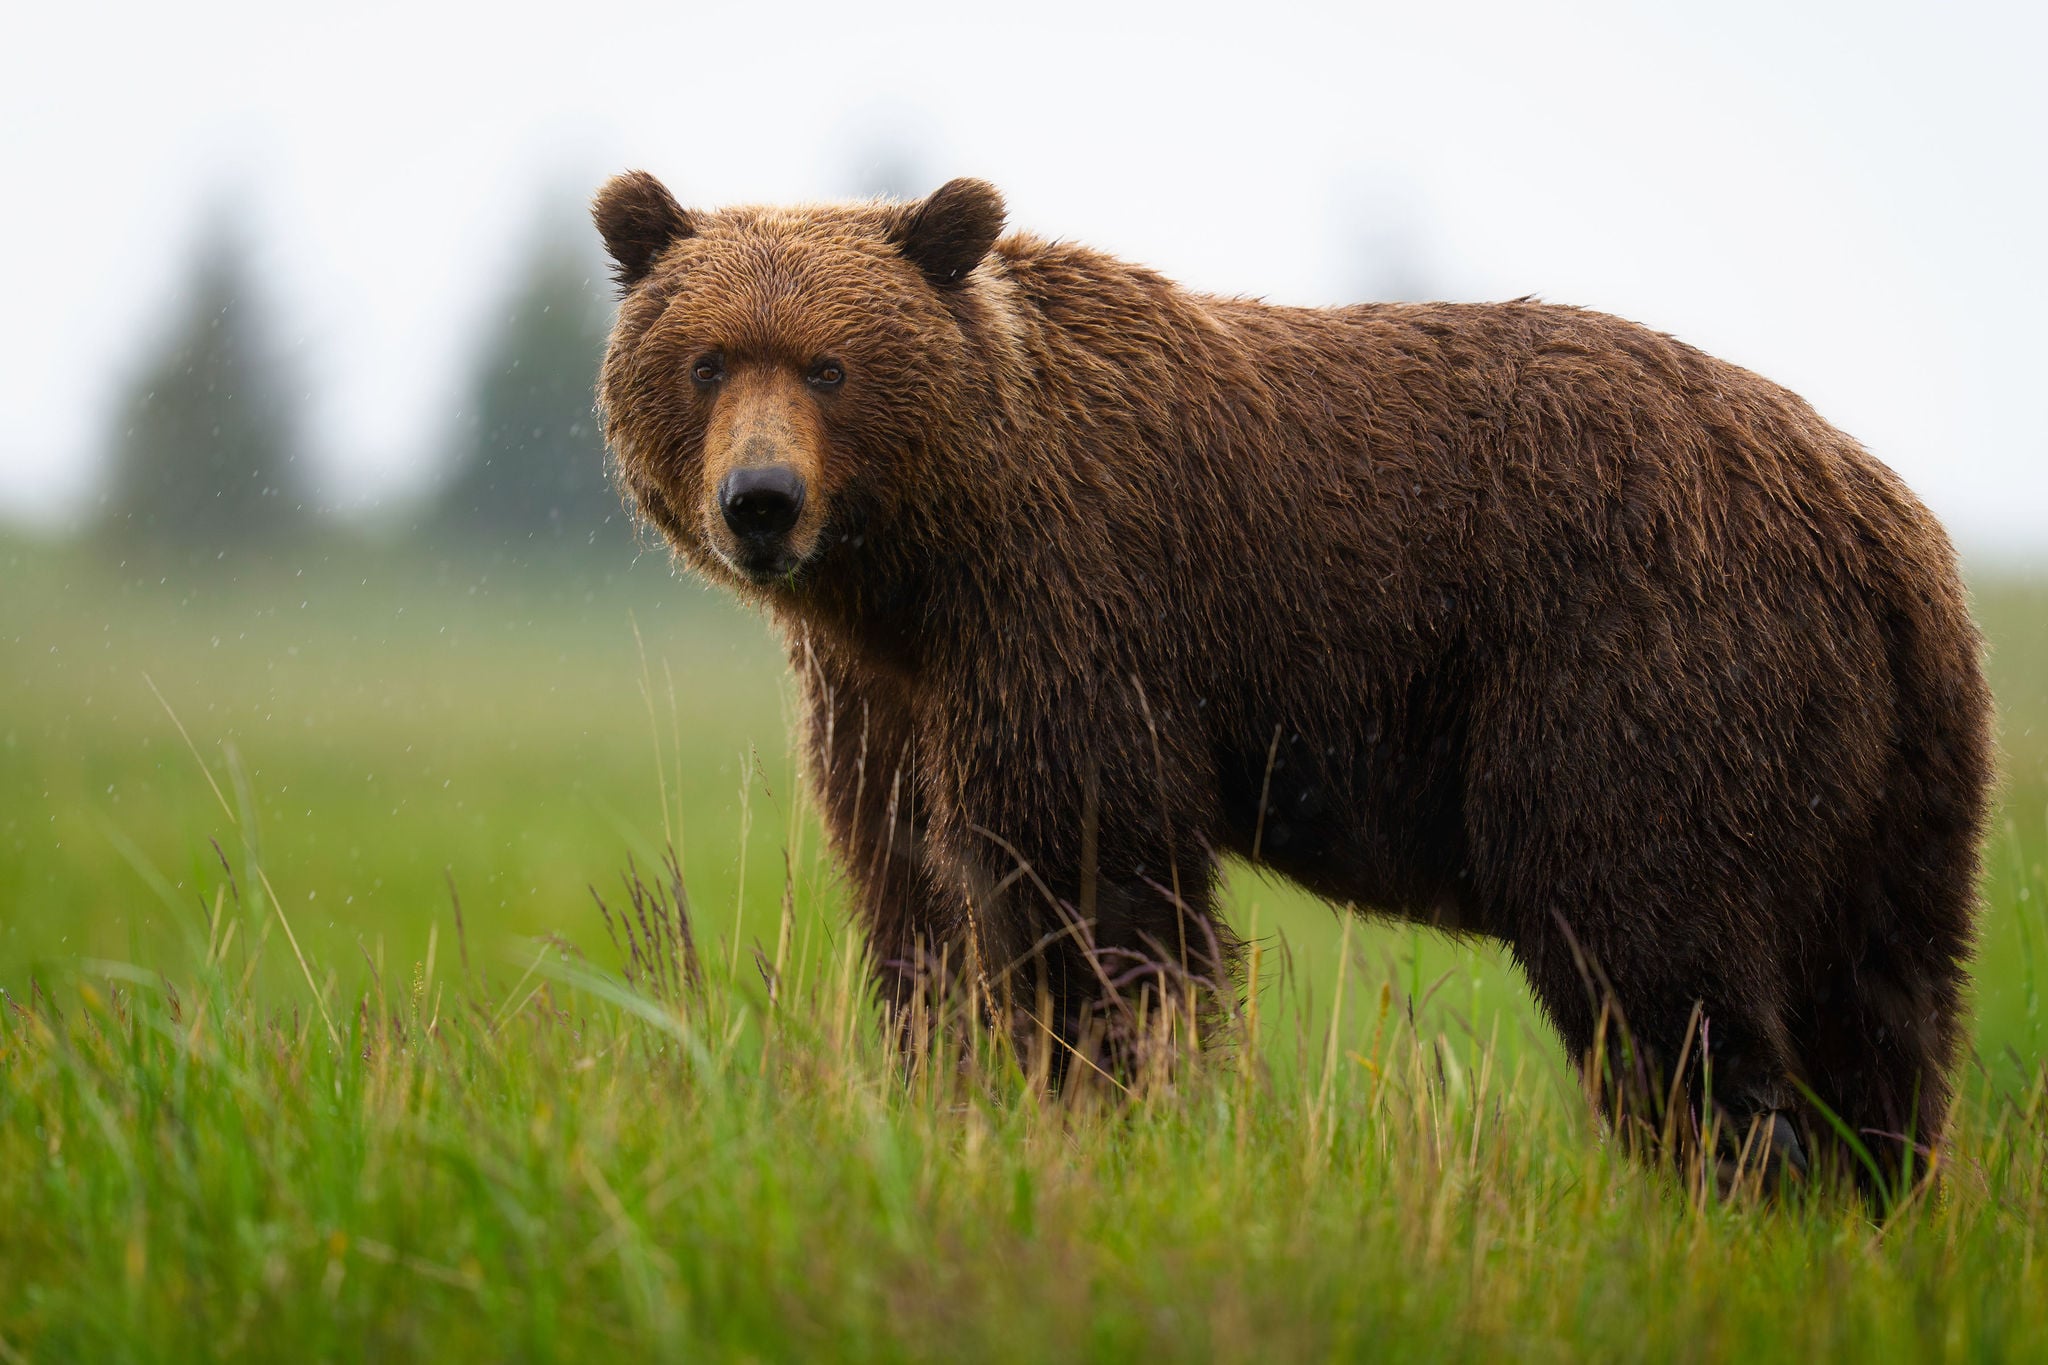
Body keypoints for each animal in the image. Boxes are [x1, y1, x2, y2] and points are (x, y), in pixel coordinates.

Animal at [591, 170, 1993, 1199]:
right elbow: (915, 890)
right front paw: (954, 1082)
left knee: (1652, 943)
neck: (928, 558)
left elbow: (1093, 889)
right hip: (1887, 765)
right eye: (708, 360)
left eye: (827, 366)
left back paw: (1736, 1182)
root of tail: (1884, 524)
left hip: (1643, 670)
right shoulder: (886, 695)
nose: (760, 501)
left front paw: (1113, 1099)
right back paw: (1874, 1196)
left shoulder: (1074, 612)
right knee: (1883, 1002)